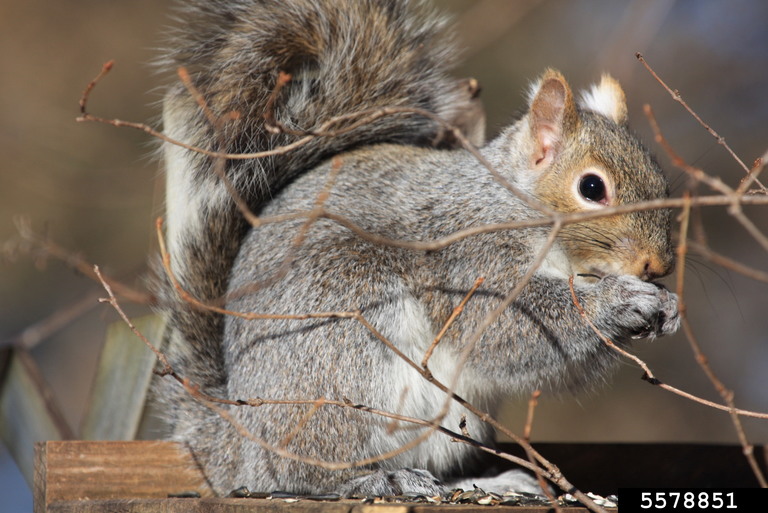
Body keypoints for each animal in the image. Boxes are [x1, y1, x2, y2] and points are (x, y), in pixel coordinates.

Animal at [153, 0, 680, 498]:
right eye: (592, 188)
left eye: (659, 177)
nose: (656, 266)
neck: (513, 204)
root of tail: (237, 442)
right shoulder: (471, 259)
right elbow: (511, 331)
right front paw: (619, 299)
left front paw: (666, 306)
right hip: (341, 340)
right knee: (303, 470)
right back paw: (373, 480)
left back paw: (483, 482)